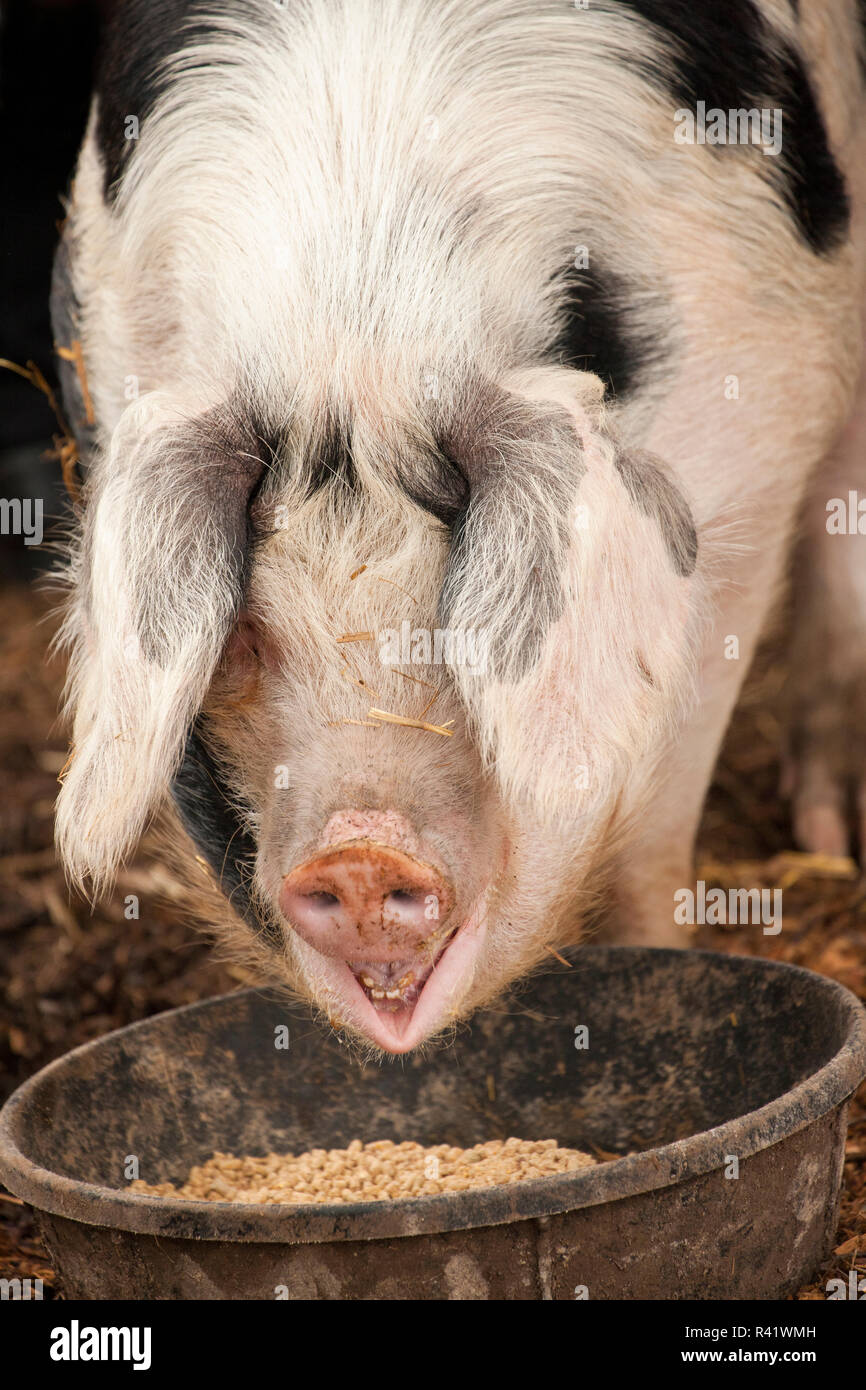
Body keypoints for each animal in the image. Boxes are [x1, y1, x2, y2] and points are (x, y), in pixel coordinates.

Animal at [51, 0, 866, 1054]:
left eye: (459, 614)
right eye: (243, 638)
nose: (359, 855)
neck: (359, 337)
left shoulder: (752, 463)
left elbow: (653, 828)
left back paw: (824, 835)